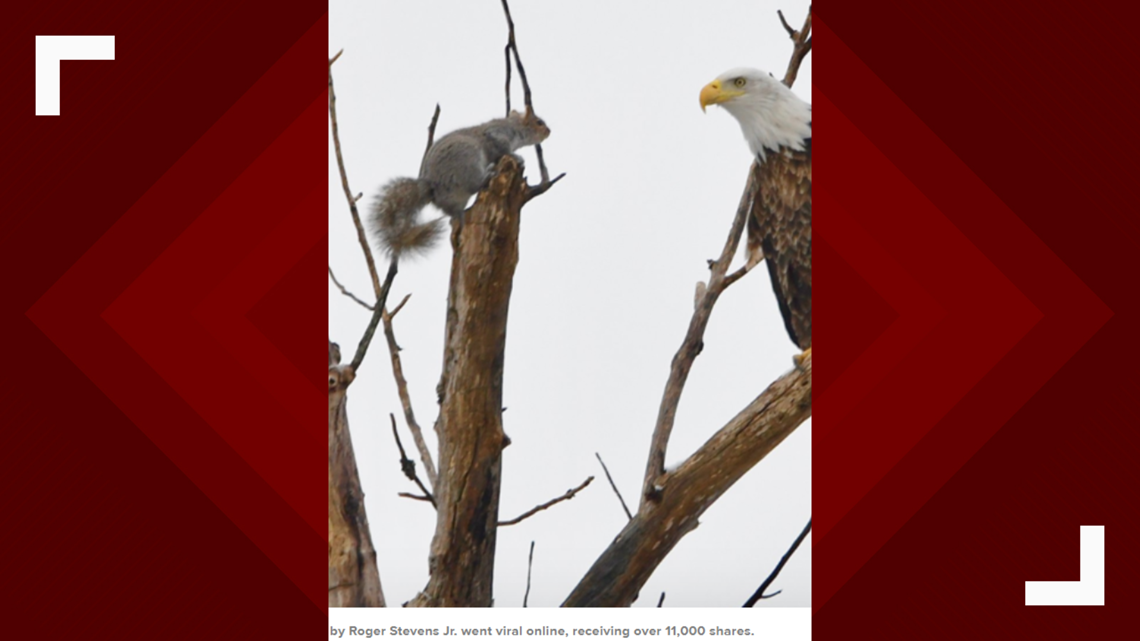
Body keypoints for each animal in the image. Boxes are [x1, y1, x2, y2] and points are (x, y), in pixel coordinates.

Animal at [370, 110, 551, 257]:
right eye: (539, 122)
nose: (548, 132)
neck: (514, 125)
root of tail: (432, 188)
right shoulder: (498, 135)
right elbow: (504, 150)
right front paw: (517, 157)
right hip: (467, 160)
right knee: (474, 184)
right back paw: (487, 175)